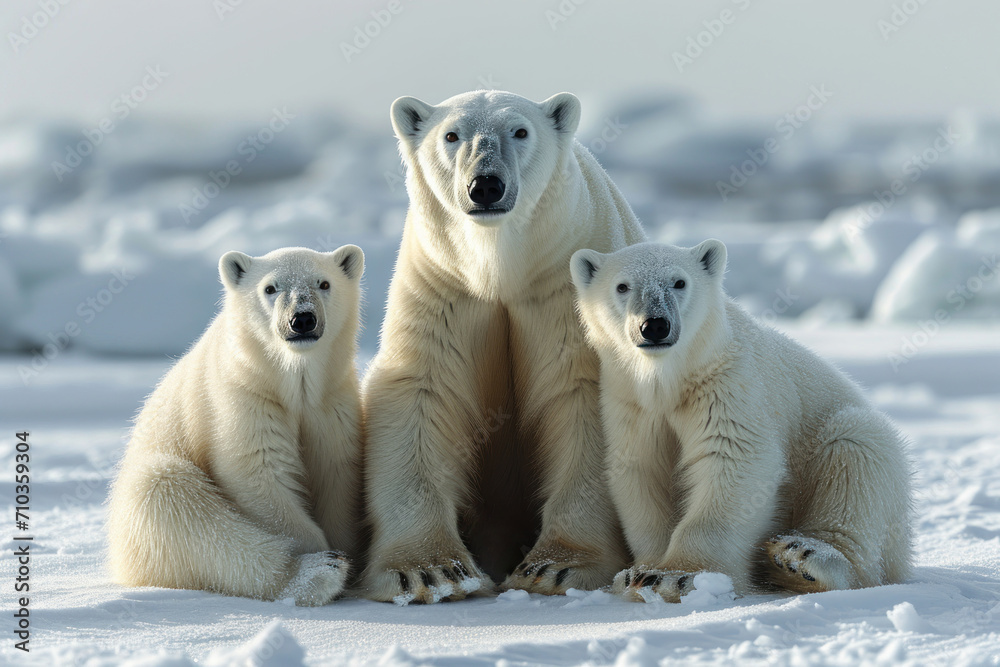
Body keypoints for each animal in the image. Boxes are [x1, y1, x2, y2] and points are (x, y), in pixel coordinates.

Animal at [107, 245, 366, 606]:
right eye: (270, 288)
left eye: (324, 283)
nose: (302, 319)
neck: (290, 382)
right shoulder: (242, 396)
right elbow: (258, 474)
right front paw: (322, 550)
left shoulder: (331, 402)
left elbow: (337, 471)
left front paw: (349, 550)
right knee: (172, 498)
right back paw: (318, 571)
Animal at [362, 90, 647, 603]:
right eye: (451, 135)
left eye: (520, 130)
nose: (486, 186)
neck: (501, 270)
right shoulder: (443, 291)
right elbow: (419, 400)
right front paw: (430, 573)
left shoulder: (564, 294)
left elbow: (584, 404)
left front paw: (553, 568)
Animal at [569, 240, 913, 601]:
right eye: (622, 286)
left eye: (679, 282)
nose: (655, 325)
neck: (674, 377)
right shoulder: (631, 403)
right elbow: (640, 470)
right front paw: (637, 573)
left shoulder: (727, 384)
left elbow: (734, 459)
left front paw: (675, 576)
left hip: (851, 444)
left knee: (854, 456)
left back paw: (803, 558)